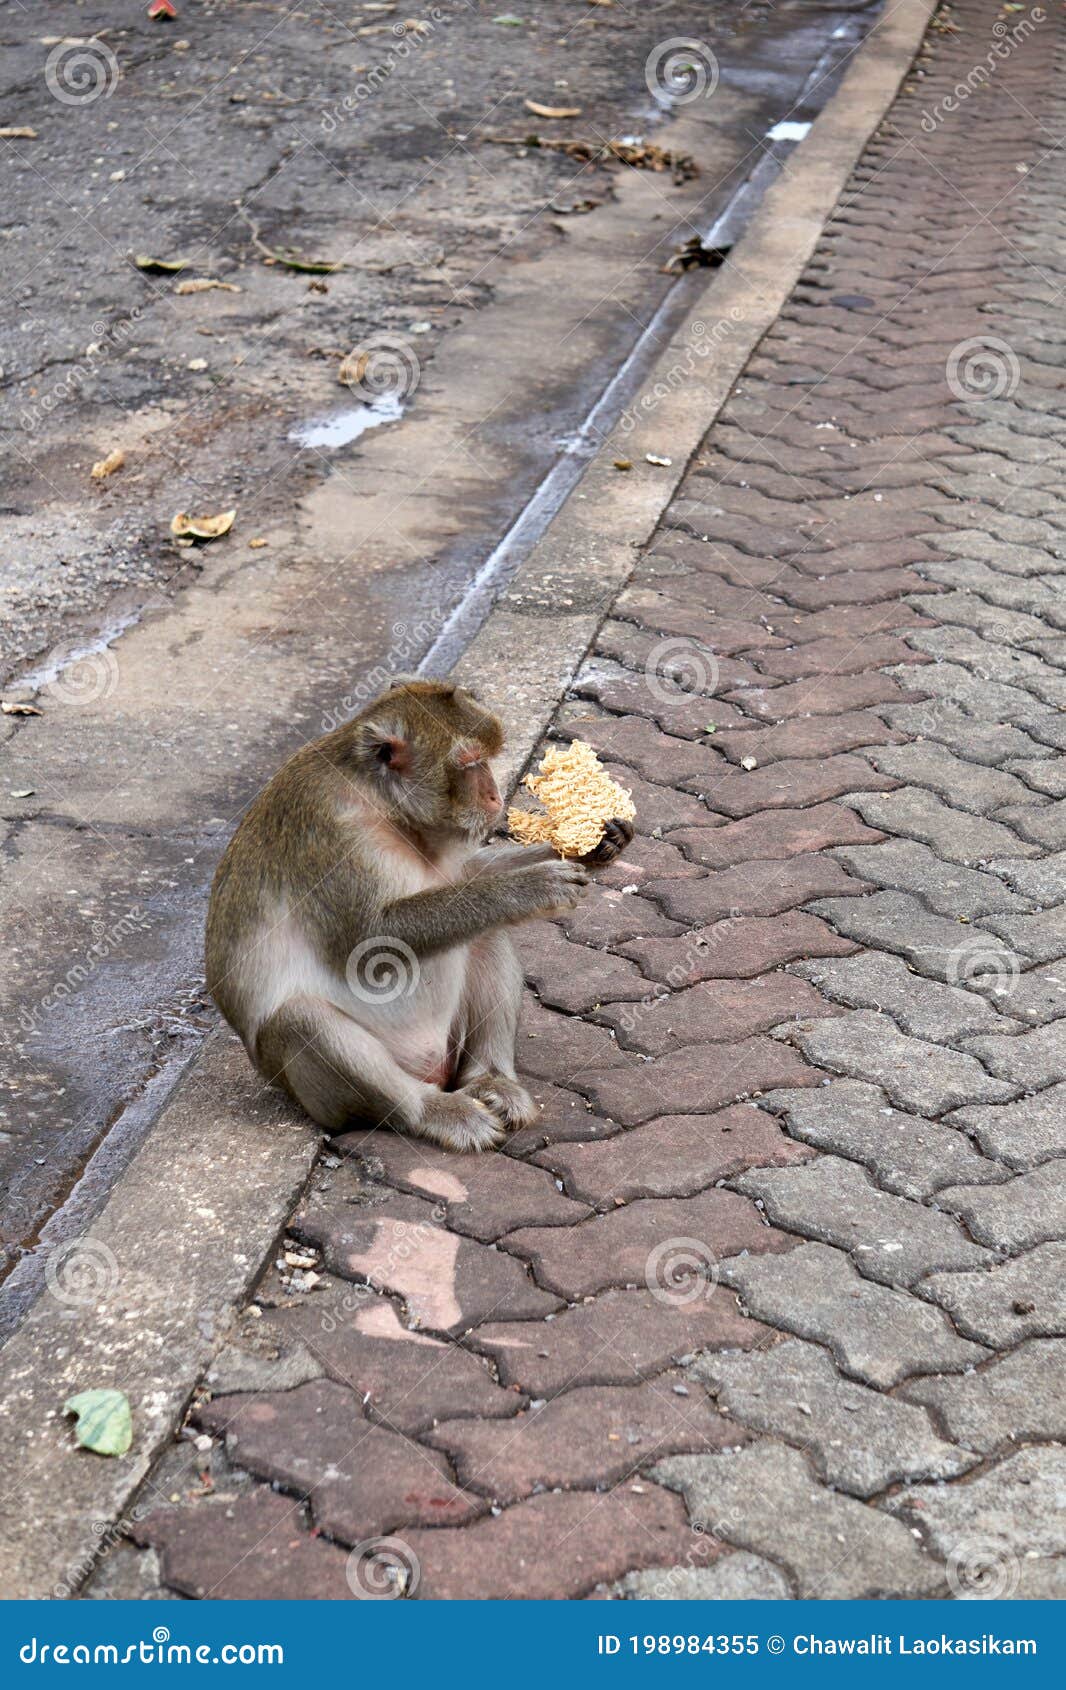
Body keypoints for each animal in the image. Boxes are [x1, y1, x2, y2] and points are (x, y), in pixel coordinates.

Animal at [205, 677, 632, 1152]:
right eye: (470, 763)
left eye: (487, 761)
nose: (494, 795)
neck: (386, 809)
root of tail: (434, 1072)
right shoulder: (328, 833)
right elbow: (370, 941)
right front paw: (532, 887)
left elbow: (465, 877)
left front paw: (597, 845)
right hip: (329, 1095)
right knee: (303, 1021)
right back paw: (432, 1112)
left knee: (485, 933)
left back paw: (490, 1080)